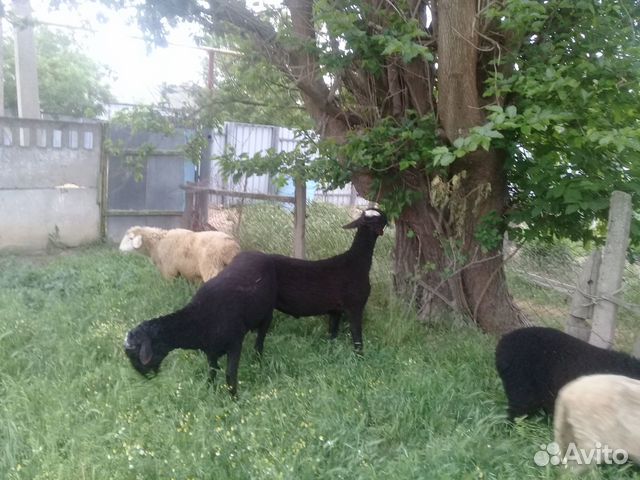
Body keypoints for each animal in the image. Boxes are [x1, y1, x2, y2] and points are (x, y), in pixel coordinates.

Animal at [123, 251, 276, 396]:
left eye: (135, 353)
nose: (146, 377)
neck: (198, 321)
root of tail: (256, 253)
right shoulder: (210, 350)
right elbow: (212, 371)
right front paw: (210, 391)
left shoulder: (234, 343)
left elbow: (229, 374)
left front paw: (234, 398)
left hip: (267, 313)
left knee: (260, 339)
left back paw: (257, 360)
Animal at [268, 208, 388, 353]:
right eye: (375, 219)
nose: (387, 218)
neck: (356, 263)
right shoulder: (355, 306)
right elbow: (357, 336)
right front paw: (360, 355)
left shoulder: (335, 311)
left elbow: (333, 335)